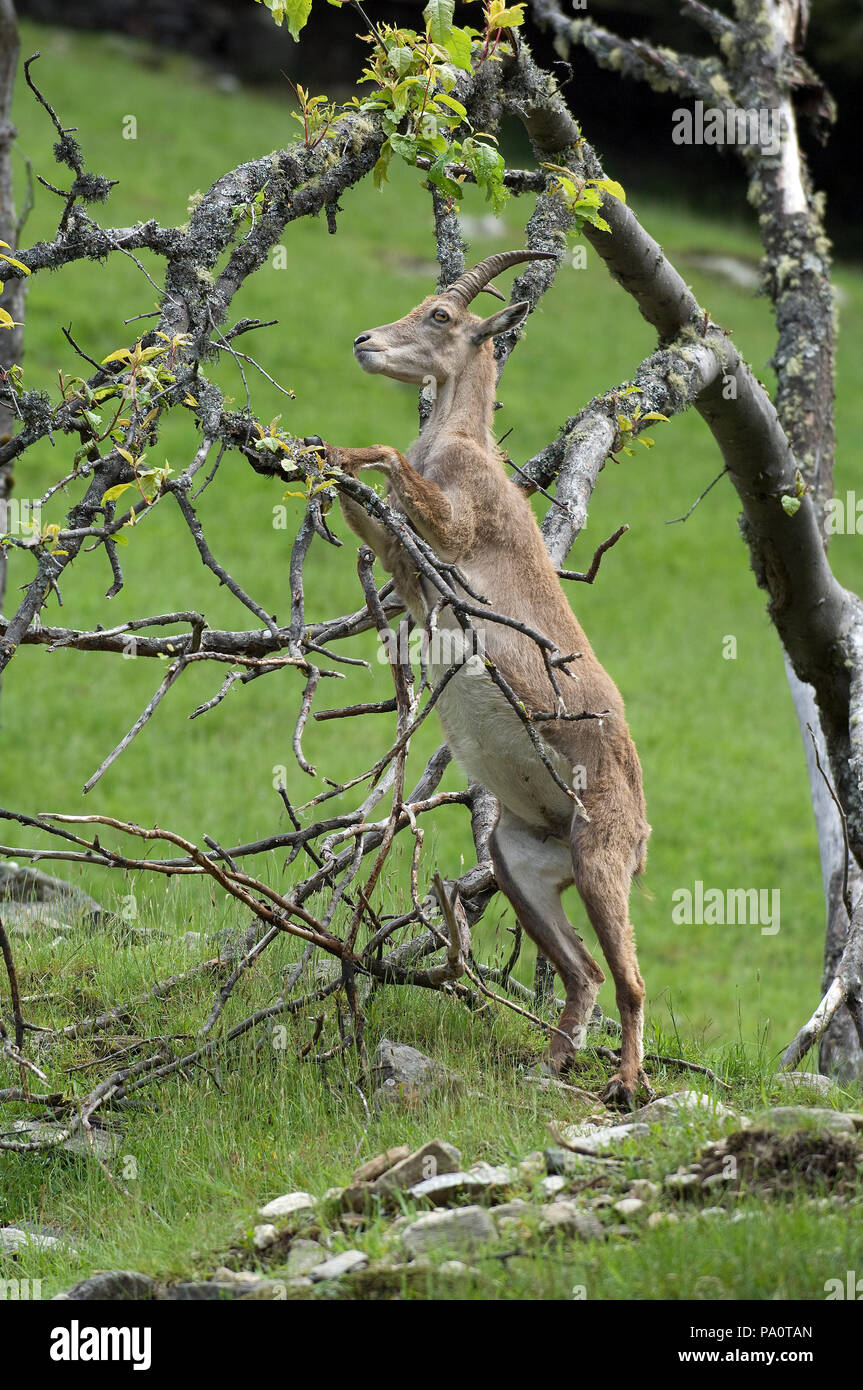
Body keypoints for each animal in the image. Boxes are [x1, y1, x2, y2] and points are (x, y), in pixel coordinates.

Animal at [313, 249, 651, 1108]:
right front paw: (323, 457)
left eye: (440, 316)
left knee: (628, 979)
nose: (365, 342)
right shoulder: (411, 574)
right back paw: (552, 1062)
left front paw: (347, 453)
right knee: (583, 971)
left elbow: (391, 461)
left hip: (601, 860)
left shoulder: (458, 528)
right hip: (520, 864)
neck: (458, 444)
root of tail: (637, 838)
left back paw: (623, 1082)